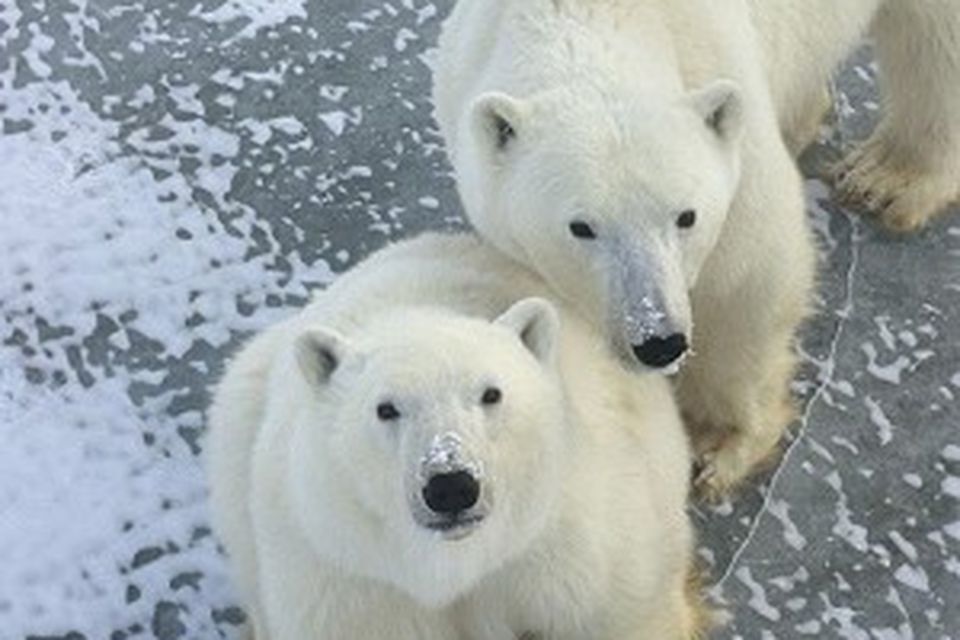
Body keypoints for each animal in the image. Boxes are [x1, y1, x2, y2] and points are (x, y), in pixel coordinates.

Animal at [206, 233, 707, 640]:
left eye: (491, 393)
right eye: (386, 408)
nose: (450, 486)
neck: (456, 564)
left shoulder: (567, 545)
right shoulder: (353, 577)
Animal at [432, 0, 818, 495]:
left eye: (686, 216)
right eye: (582, 228)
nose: (658, 342)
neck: (591, 15)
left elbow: (750, 279)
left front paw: (724, 445)